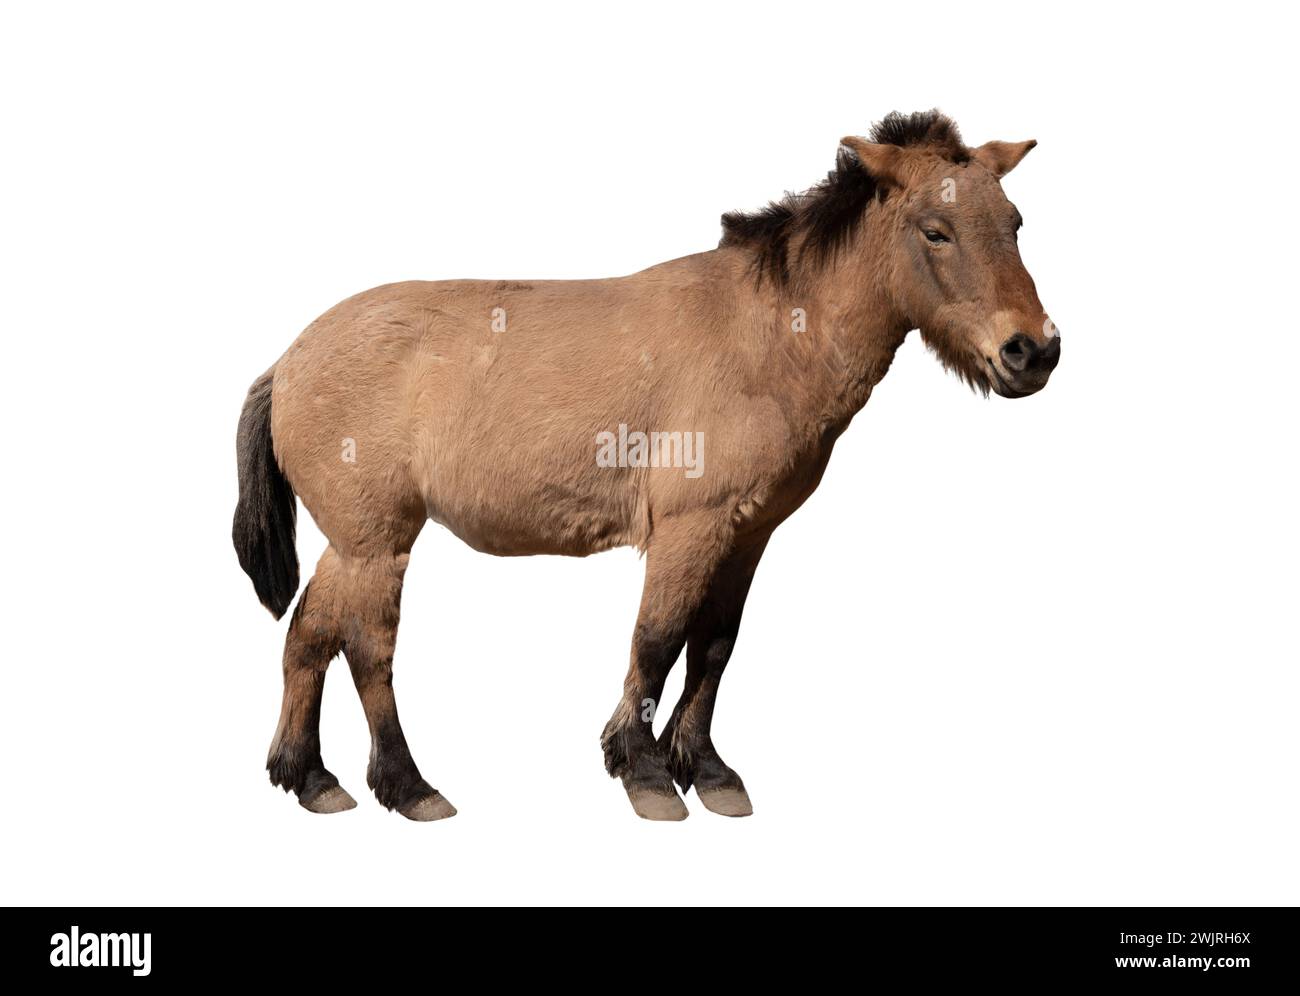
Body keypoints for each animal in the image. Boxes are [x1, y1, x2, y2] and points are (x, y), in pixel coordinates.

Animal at [233, 110, 1060, 821]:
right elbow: (658, 640)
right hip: (378, 543)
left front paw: (709, 771)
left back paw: (311, 779)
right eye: (936, 231)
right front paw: (645, 772)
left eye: (1015, 223)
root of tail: (288, 360)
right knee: (368, 650)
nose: (1033, 350)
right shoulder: (688, 528)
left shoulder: (747, 534)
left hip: (350, 543)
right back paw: (408, 787)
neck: (768, 337)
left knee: (309, 636)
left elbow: (714, 646)